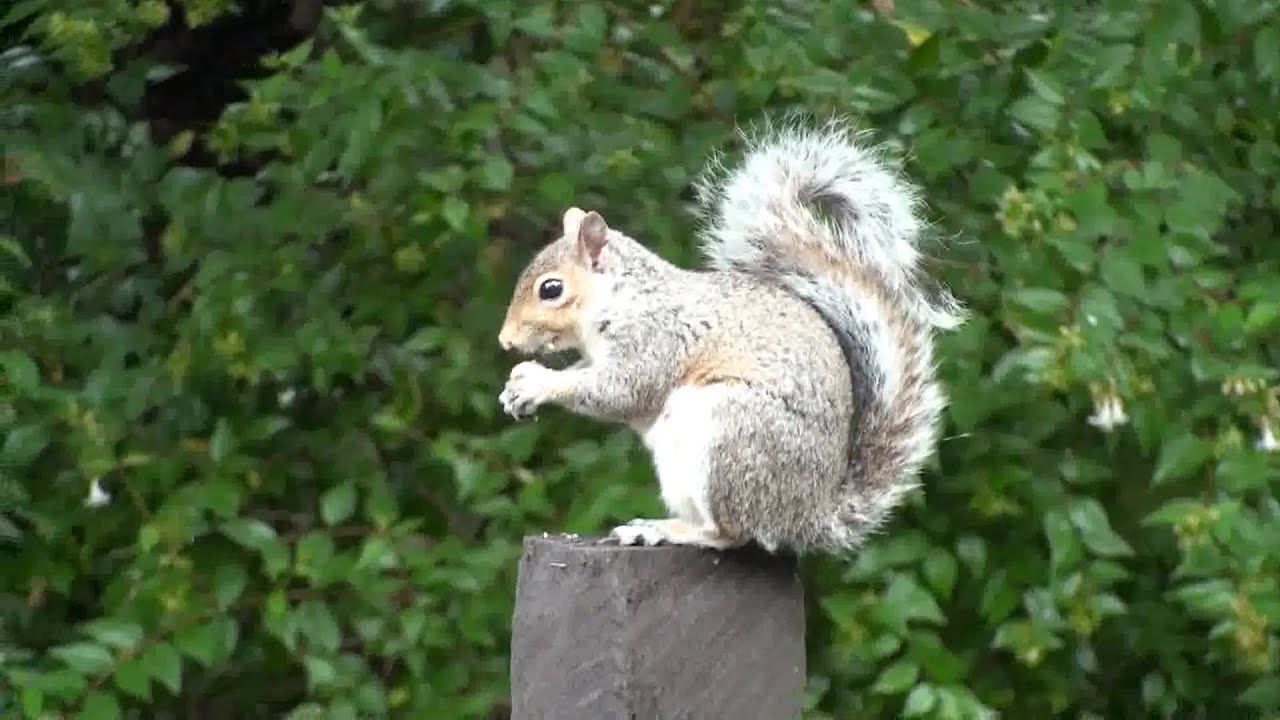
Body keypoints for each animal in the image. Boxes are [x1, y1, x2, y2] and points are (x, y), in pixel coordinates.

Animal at [496, 118, 964, 554]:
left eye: (551, 289)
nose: (506, 341)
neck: (621, 298)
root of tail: (806, 518)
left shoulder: (656, 338)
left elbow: (619, 390)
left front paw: (537, 382)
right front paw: (517, 385)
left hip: (730, 433)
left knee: (732, 533)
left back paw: (665, 531)